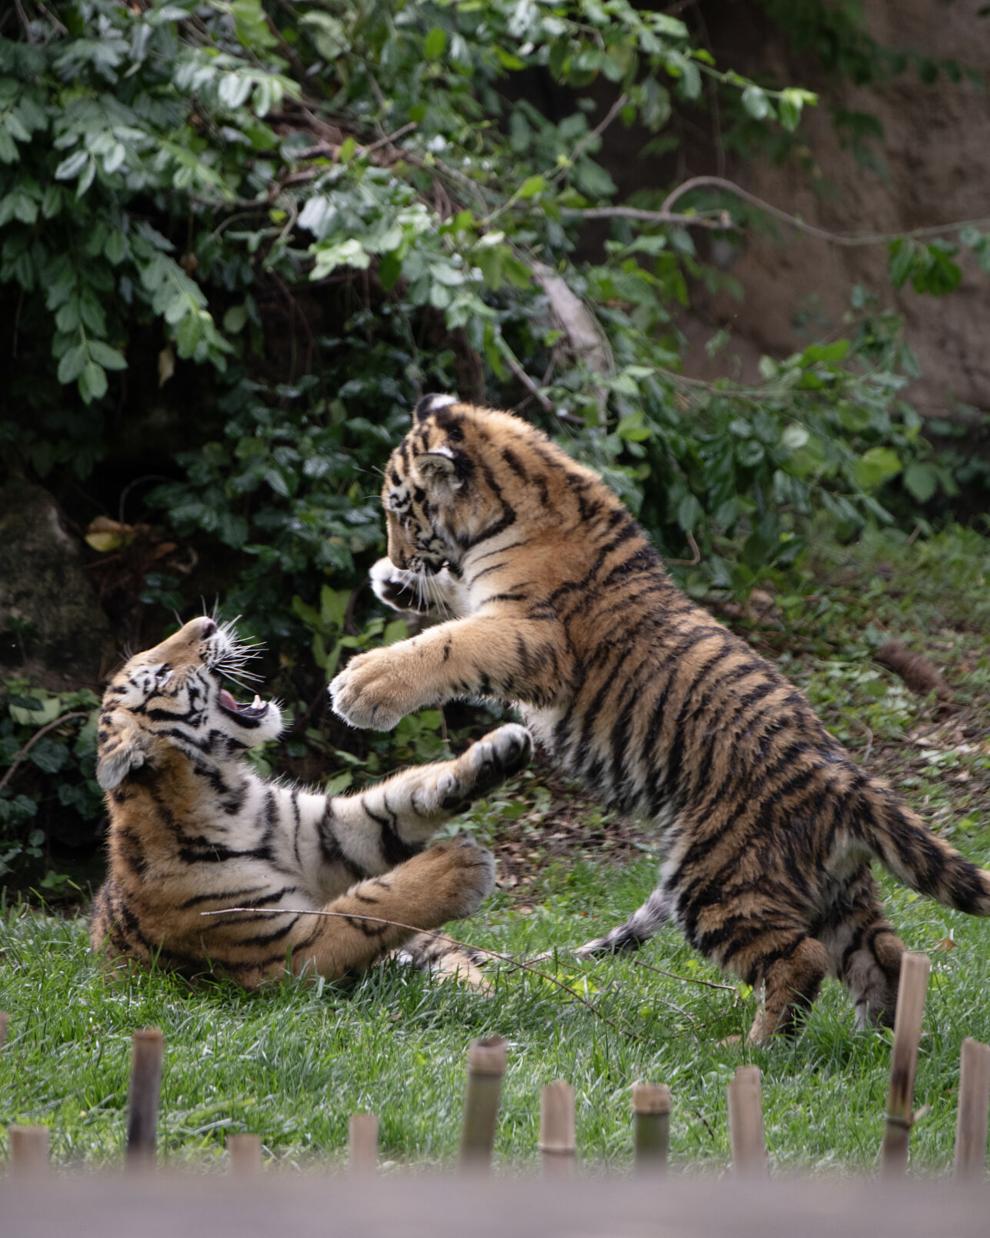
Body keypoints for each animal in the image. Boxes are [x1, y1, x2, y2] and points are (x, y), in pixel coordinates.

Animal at [90, 614, 531, 988]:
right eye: (162, 674)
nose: (207, 622)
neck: (229, 797)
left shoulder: (327, 832)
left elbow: (397, 801)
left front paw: (495, 753)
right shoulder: (292, 951)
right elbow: (368, 909)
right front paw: (457, 868)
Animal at [329, 393, 990, 1043]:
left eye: (401, 510)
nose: (393, 554)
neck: (524, 494)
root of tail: (845, 780)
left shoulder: (532, 635)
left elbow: (448, 644)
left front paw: (361, 685)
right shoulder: (491, 604)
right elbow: (451, 602)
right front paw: (392, 582)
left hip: (717, 881)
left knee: (800, 959)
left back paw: (753, 1049)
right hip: (836, 893)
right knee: (883, 954)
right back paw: (877, 1041)